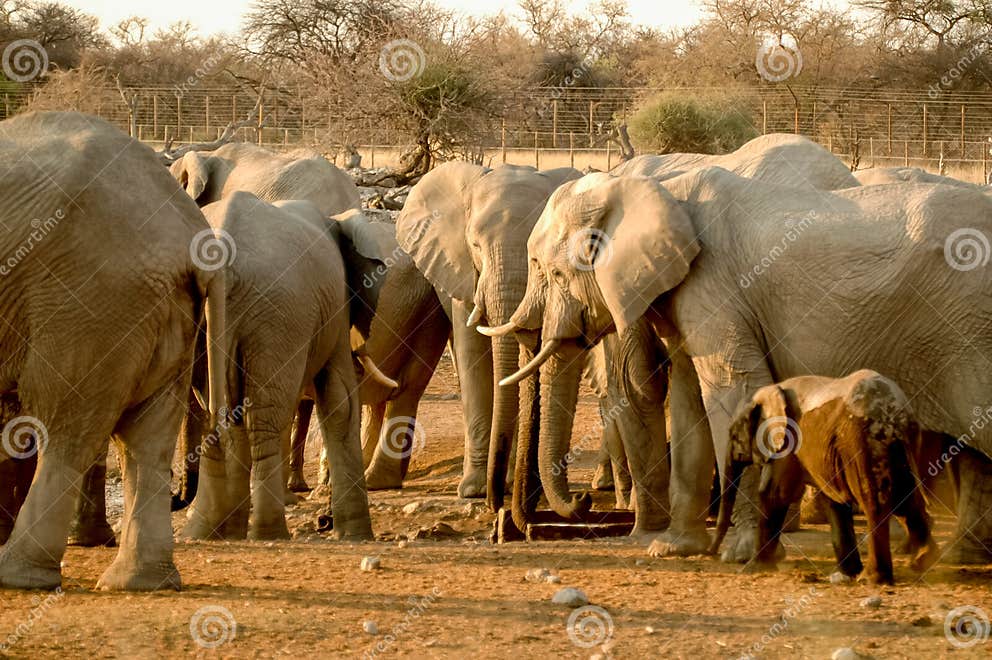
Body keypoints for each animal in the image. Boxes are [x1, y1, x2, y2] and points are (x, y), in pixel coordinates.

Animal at [0, 112, 225, 591]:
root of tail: (188, 232)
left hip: (89, 301)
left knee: (67, 427)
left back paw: (21, 576)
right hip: (151, 308)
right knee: (145, 438)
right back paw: (140, 582)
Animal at [181, 193, 375, 541]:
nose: (325, 521)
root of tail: (221, 258)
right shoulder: (336, 308)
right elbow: (340, 399)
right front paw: (358, 536)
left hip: (237, 315)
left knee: (227, 412)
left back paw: (208, 533)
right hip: (281, 315)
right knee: (263, 419)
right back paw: (268, 533)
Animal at [710, 370, 940, 584]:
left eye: (733, 434)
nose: (711, 553)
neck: (771, 390)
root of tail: (897, 415)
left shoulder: (788, 443)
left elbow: (774, 494)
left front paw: (753, 568)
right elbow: (835, 501)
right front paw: (847, 573)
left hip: (863, 443)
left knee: (875, 502)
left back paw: (871, 579)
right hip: (898, 445)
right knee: (906, 499)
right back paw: (923, 562)